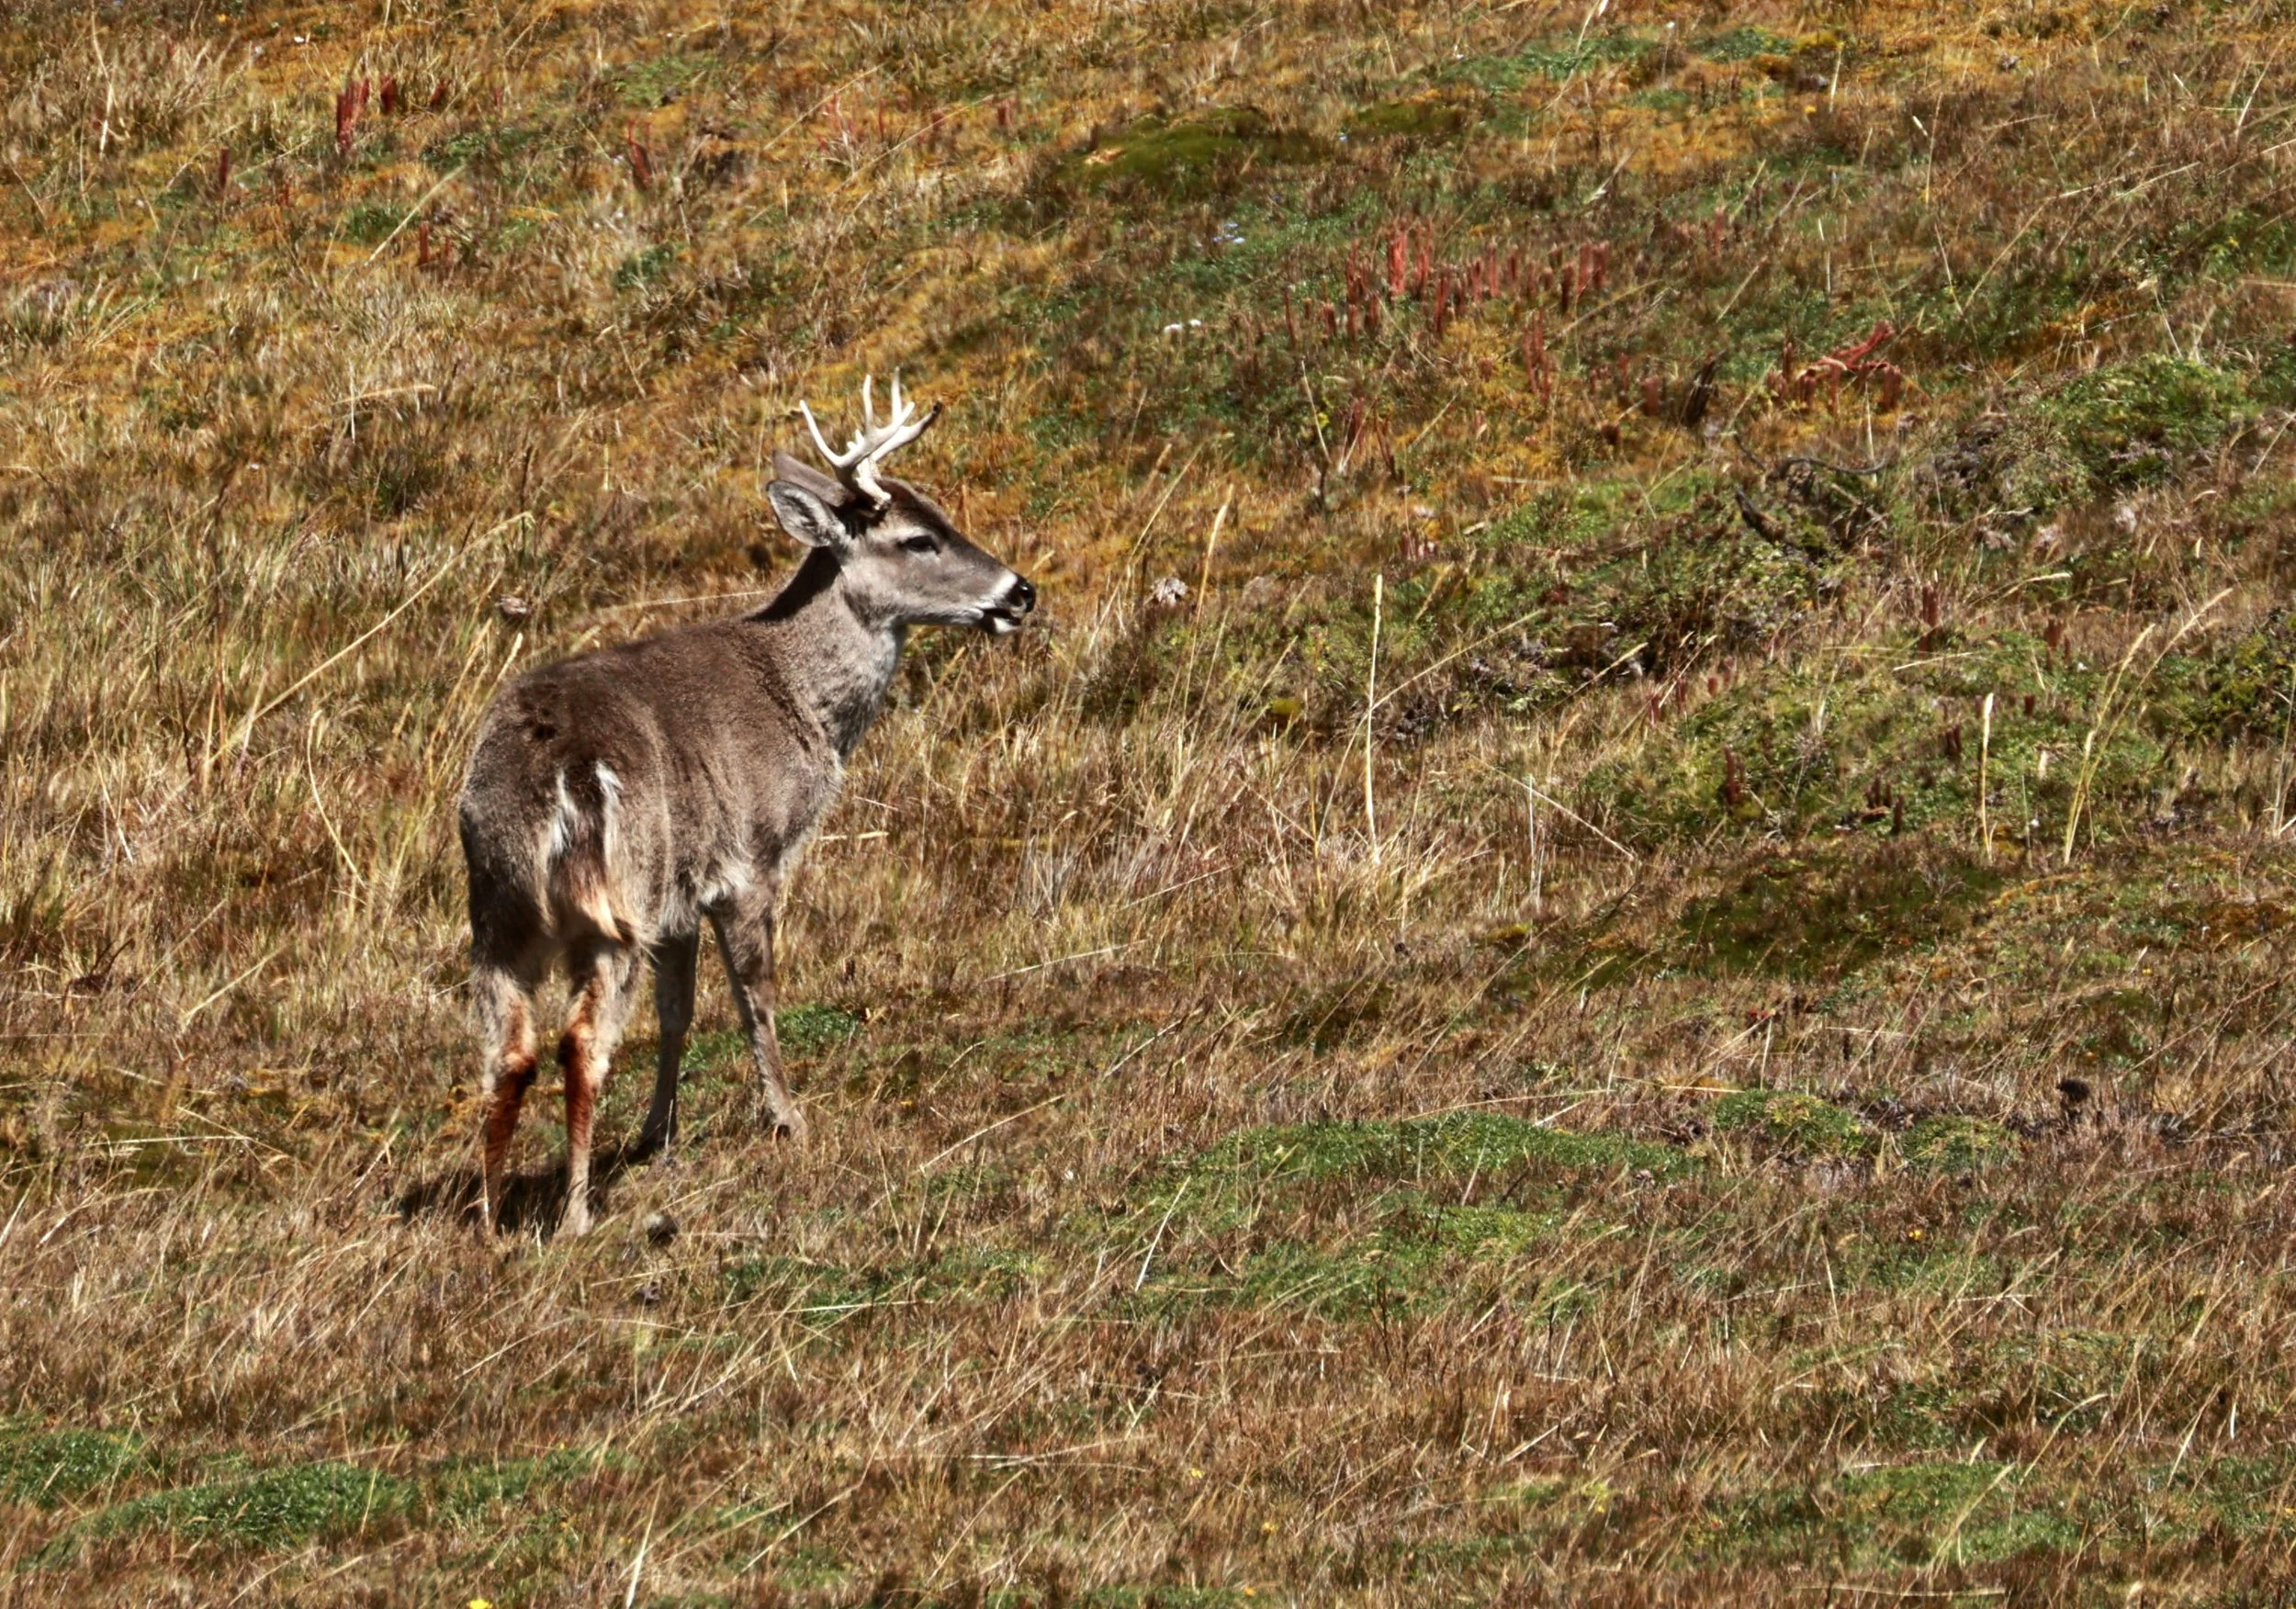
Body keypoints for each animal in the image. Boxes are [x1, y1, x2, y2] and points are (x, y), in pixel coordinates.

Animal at [457, 376, 1034, 1234]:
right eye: (918, 540)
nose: (1020, 593)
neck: (798, 700)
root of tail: (557, 774)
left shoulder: (678, 898)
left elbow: (678, 1010)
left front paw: (658, 1134)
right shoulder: (749, 861)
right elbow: (755, 996)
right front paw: (789, 1118)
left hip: (499, 908)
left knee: (509, 1052)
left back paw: (493, 1218)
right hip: (613, 901)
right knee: (581, 1043)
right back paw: (576, 1214)